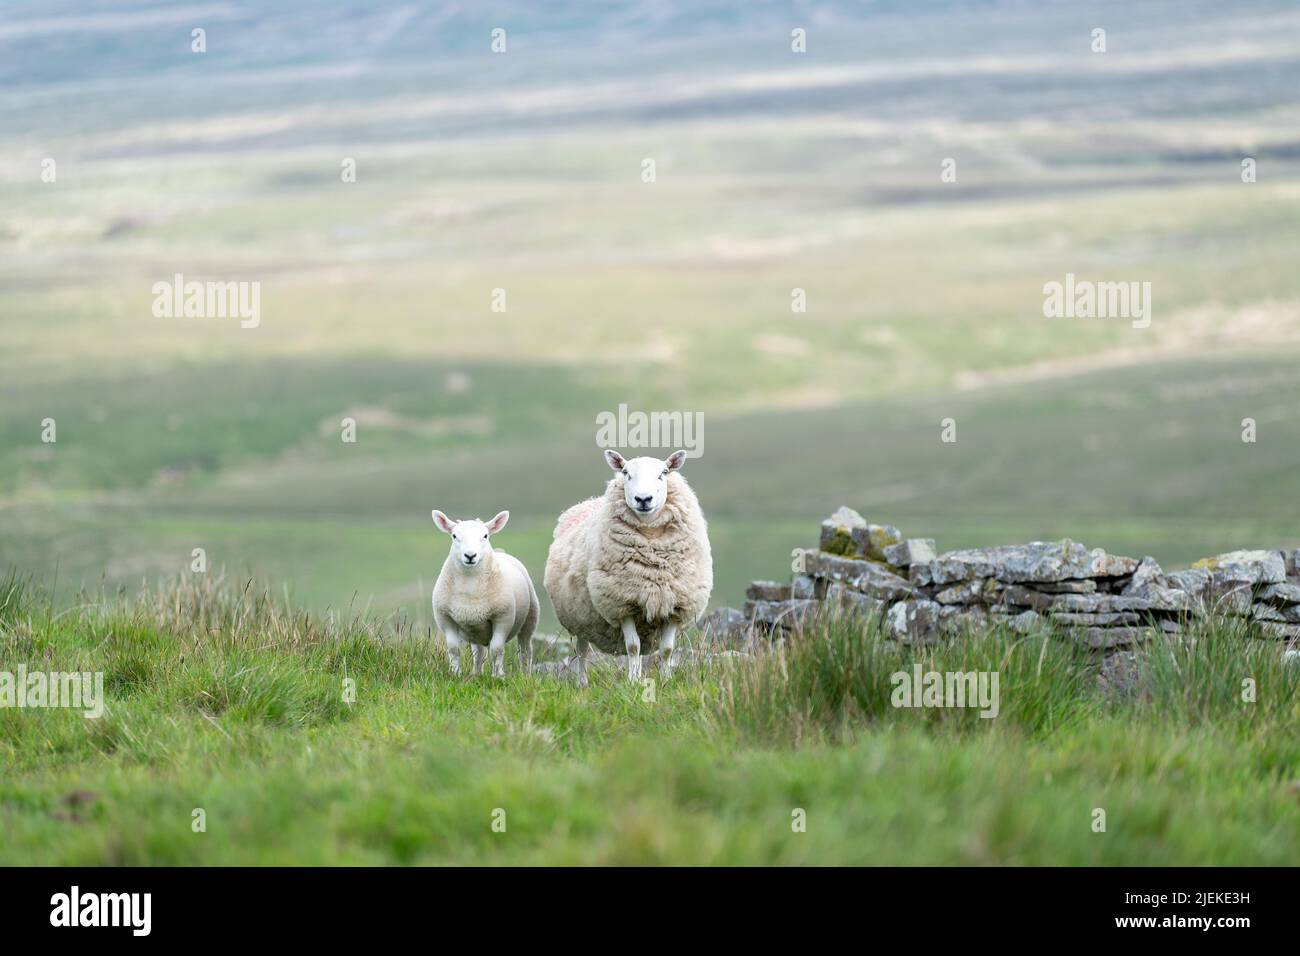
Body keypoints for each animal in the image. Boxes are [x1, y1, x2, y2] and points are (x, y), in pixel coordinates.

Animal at [431, 509, 539, 677]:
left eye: (485, 536)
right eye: (454, 536)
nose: (470, 556)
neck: (470, 583)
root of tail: (501, 552)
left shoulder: (503, 617)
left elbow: (496, 649)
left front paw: (498, 676)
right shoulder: (445, 618)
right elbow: (453, 648)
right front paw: (455, 673)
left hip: (530, 618)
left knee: (525, 650)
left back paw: (525, 675)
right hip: (476, 628)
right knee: (479, 653)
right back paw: (476, 674)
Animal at [544, 449, 712, 683]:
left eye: (664, 473)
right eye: (625, 472)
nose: (643, 499)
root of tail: (587, 502)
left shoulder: (676, 604)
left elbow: (667, 649)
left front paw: (665, 681)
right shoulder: (622, 603)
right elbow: (632, 647)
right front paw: (632, 682)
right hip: (580, 619)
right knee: (582, 652)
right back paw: (582, 683)